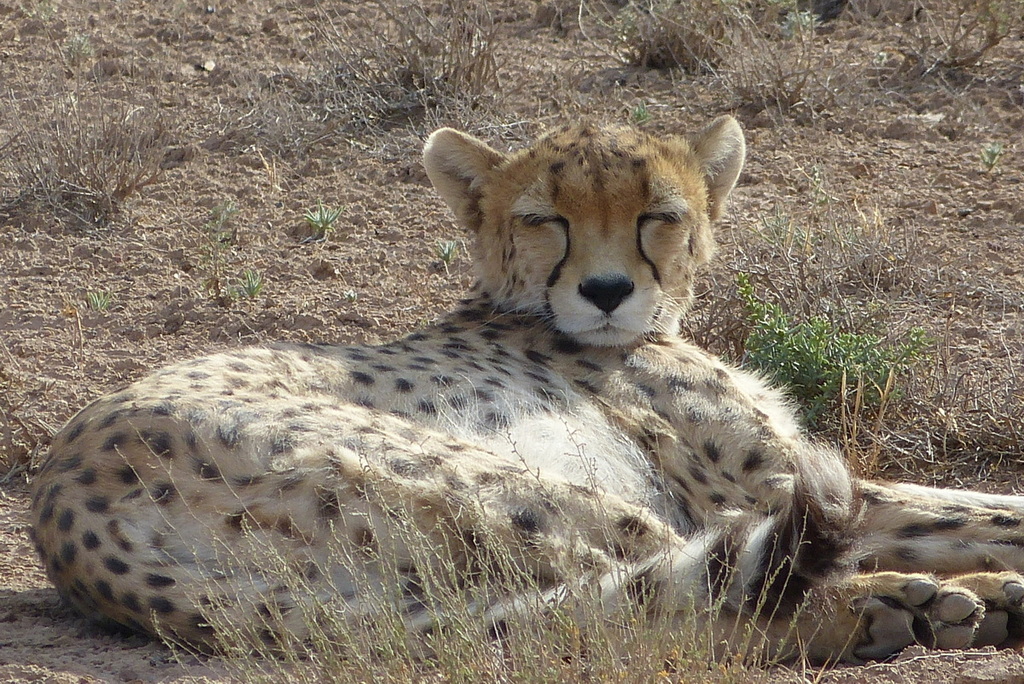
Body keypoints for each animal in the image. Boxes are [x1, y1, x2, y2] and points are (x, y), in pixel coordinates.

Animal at [29, 116, 1024, 664]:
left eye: (657, 217)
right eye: (546, 219)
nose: (607, 290)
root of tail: (61, 507)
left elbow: (978, 506)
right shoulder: (774, 487)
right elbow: (982, 511)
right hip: (503, 490)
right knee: (655, 614)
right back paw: (892, 608)